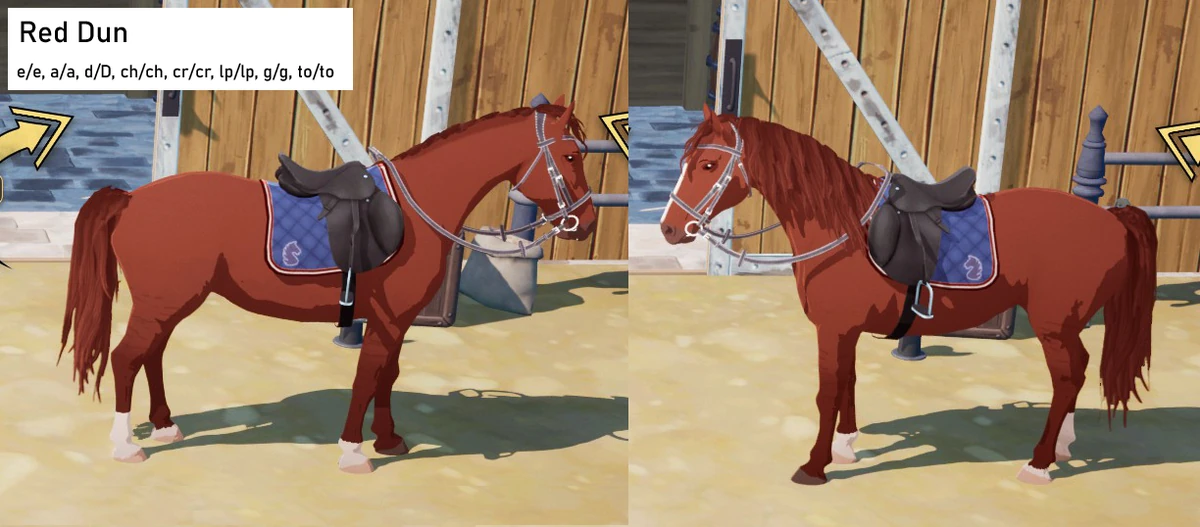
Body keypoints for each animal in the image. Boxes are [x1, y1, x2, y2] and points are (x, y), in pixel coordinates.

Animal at [59, 99, 597, 474]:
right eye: (571, 155)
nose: (586, 222)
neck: (414, 207)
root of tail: (131, 199)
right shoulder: (386, 319)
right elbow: (368, 377)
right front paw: (355, 452)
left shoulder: (394, 321)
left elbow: (387, 376)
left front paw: (389, 440)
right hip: (163, 303)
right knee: (127, 357)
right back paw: (126, 445)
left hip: (171, 303)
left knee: (151, 355)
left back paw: (166, 426)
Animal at [658, 104, 1157, 486]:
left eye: (708, 166)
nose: (669, 229)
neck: (845, 226)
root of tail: (1110, 218)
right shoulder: (846, 330)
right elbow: (847, 383)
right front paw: (845, 446)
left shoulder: (833, 329)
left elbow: (826, 392)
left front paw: (815, 466)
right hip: (1067, 324)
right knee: (1077, 371)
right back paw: (1065, 446)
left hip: (1054, 324)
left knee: (1068, 376)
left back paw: (1039, 464)